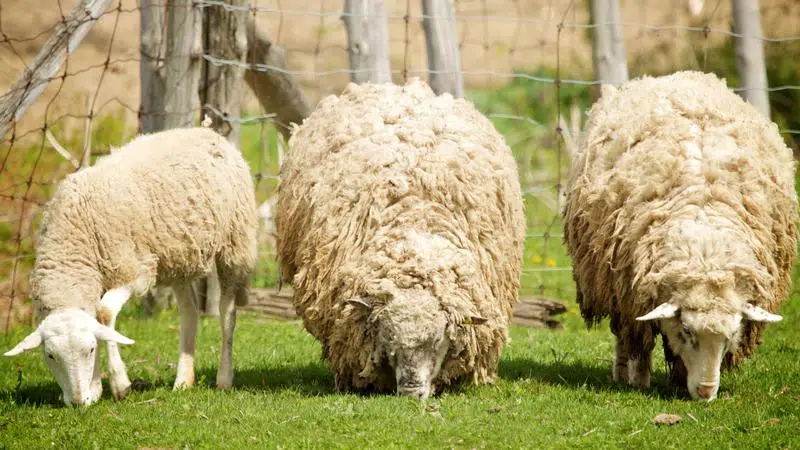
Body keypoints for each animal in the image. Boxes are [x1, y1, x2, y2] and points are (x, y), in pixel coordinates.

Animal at [4, 127, 258, 406]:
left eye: (89, 350)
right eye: (50, 356)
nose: (78, 402)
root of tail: (206, 131)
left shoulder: (134, 271)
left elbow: (104, 314)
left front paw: (119, 385)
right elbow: (98, 321)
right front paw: (96, 388)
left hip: (235, 241)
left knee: (227, 311)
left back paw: (224, 377)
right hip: (179, 256)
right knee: (189, 312)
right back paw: (183, 380)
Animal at [563, 70, 797, 401]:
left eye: (732, 335)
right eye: (687, 331)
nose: (706, 392)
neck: (705, 243)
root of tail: (668, 76)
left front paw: (680, 379)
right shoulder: (633, 292)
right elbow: (641, 339)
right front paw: (642, 379)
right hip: (613, 283)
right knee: (624, 334)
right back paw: (623, 372)